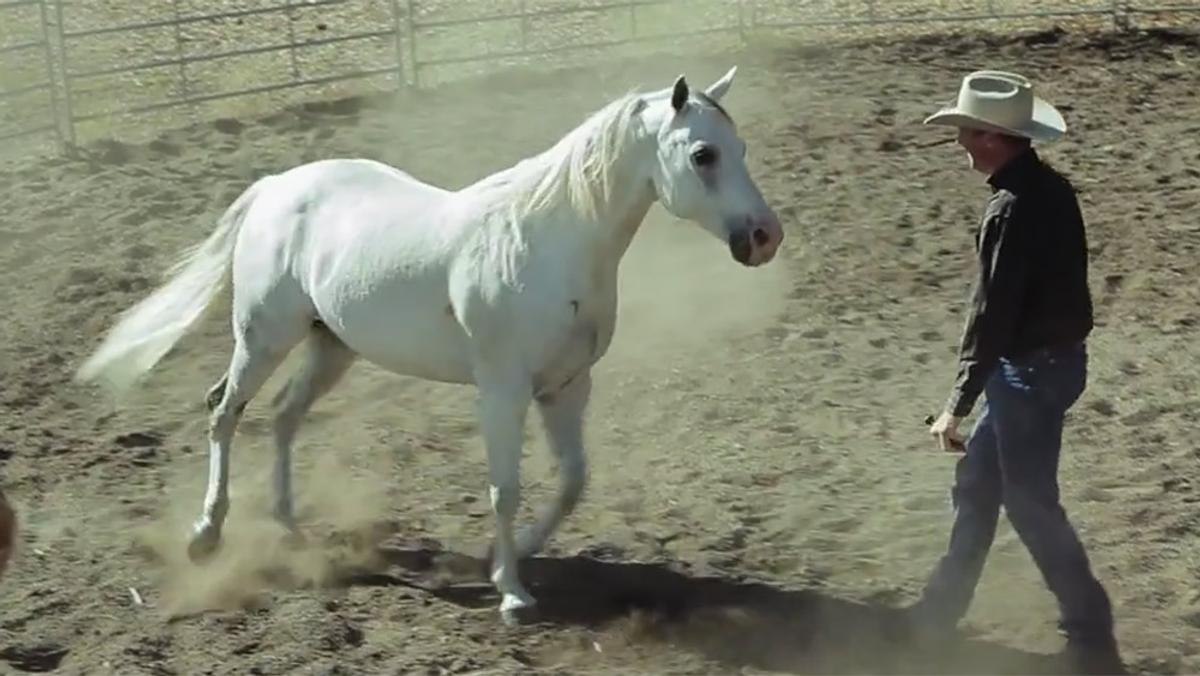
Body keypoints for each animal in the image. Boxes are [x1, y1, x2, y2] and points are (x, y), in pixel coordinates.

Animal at [74, 66, 784, 623]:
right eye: (703, 154)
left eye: (743, 146)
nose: (764, 237)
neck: (549, 245)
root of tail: (277, 187)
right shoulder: (502, 390)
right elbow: (505, 486)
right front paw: (512, 595)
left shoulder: (566, 386)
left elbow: (571, 481)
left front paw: (506, 558)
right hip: (263, 336)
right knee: (224, 412)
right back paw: (206, 537)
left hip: (331, 347)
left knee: (283, 417)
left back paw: (292, 527)